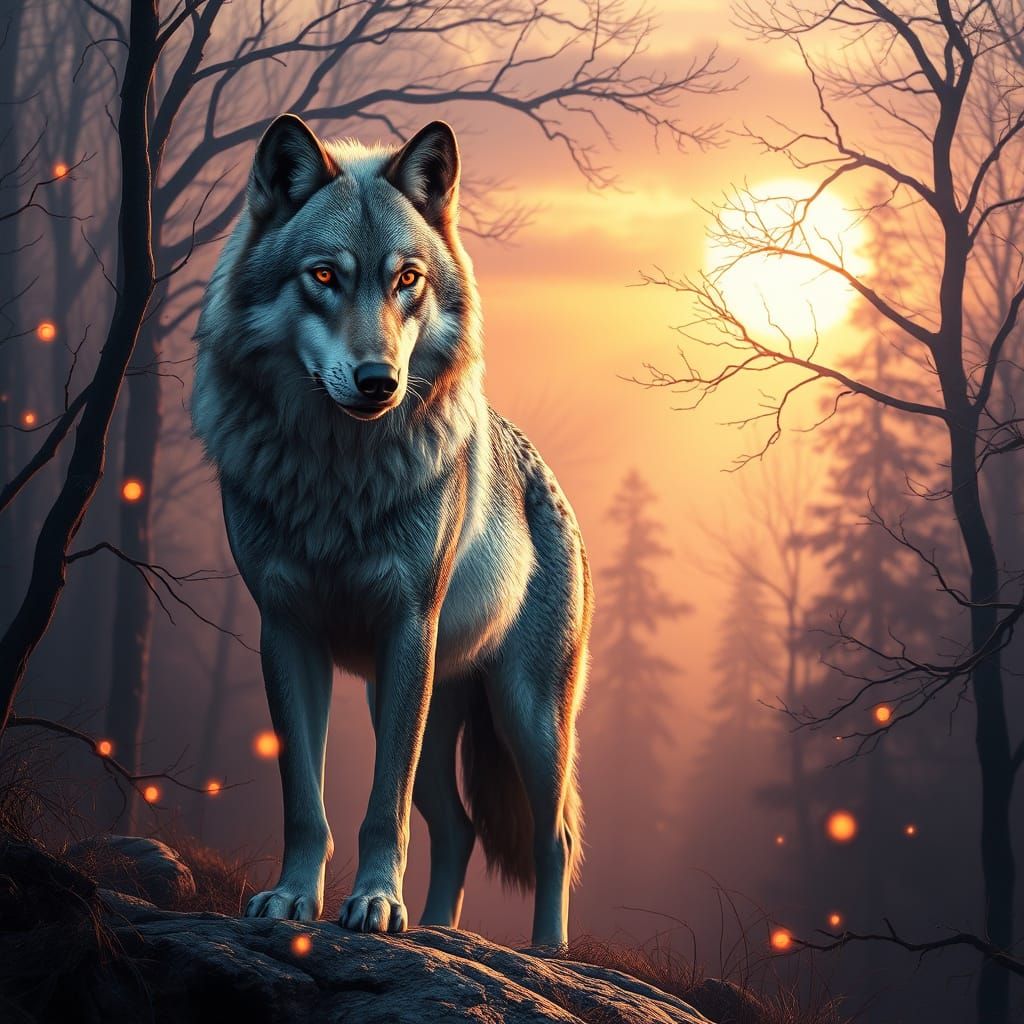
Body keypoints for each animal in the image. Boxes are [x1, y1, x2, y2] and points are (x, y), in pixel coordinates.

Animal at [192, 114, 592, 948]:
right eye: (323, 276)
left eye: (407, 279)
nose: (379, 381)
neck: (334, 476)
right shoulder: (286, 632)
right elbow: (305, 803)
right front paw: (293, 898)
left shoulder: (408, 627)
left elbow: (383, 807)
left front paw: (376, 904)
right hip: (424, 708)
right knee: (460, 828)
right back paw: (439, 929)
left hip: (525, 717)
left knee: (555, 838)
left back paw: (548, 952)